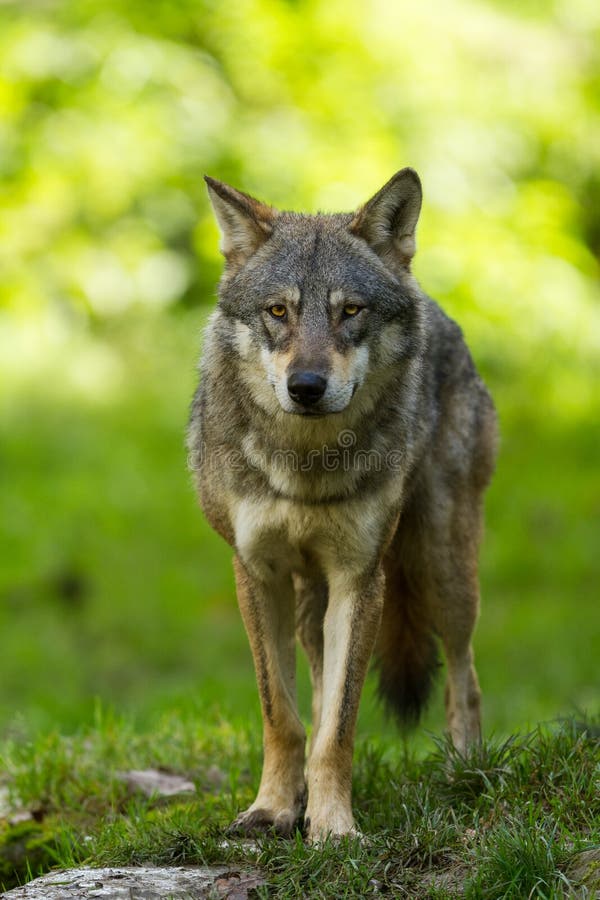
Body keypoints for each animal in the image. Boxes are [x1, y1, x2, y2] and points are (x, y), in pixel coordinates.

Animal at [188, 168, 497, 842]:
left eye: (350, 311)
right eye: (278, 312)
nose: (306, 387)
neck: (307, 466)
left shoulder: (362, 577)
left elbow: (339, 726)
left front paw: (334, 828)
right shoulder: (258, 573)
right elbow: (284, 715)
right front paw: (274, 810)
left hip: (442, 573)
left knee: (464, 675)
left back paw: (465, 772)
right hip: (313, 599)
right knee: (318, 685)